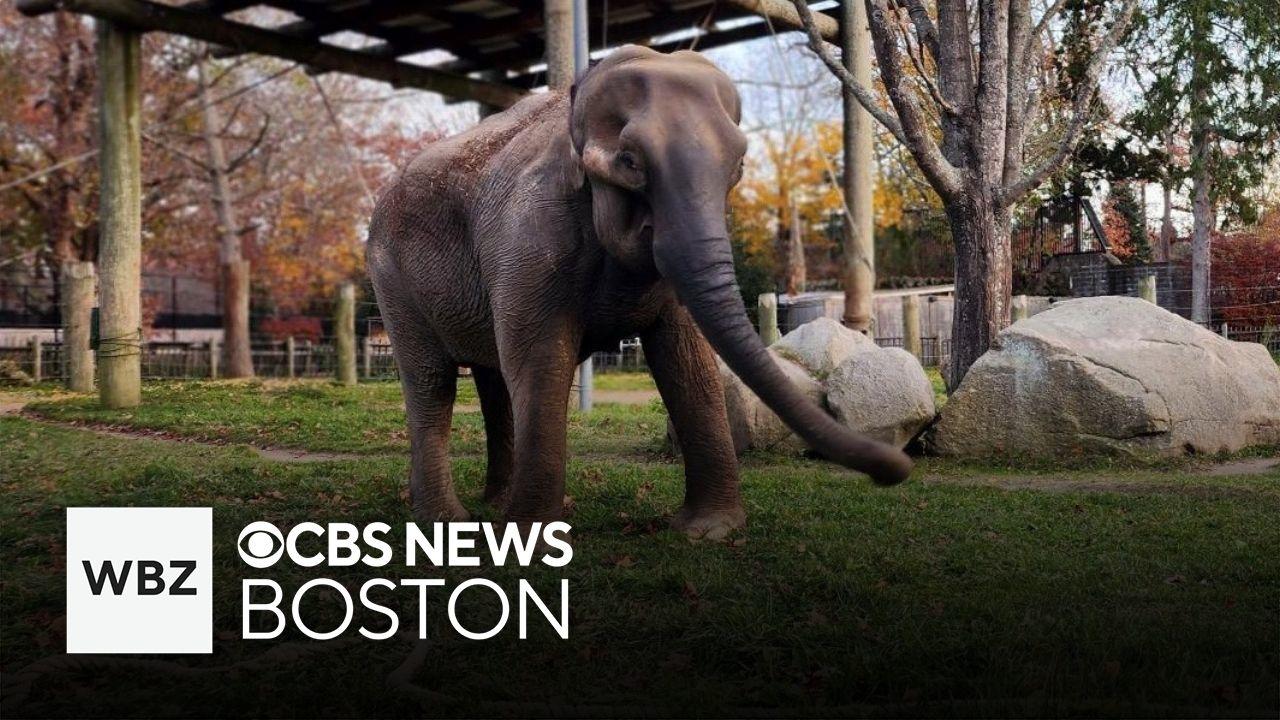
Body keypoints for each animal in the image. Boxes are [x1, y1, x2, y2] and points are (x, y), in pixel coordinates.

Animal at [367, 45, 912, 538]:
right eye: (630, 161)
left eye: (738, 165)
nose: (895, 470)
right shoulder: (532, 237)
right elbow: (540, 360)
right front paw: (530, 539)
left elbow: (686, 359)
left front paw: (708, 531)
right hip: (391, 280)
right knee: (432, 381)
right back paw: (446, 520)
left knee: (491, 378)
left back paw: (492, 505)